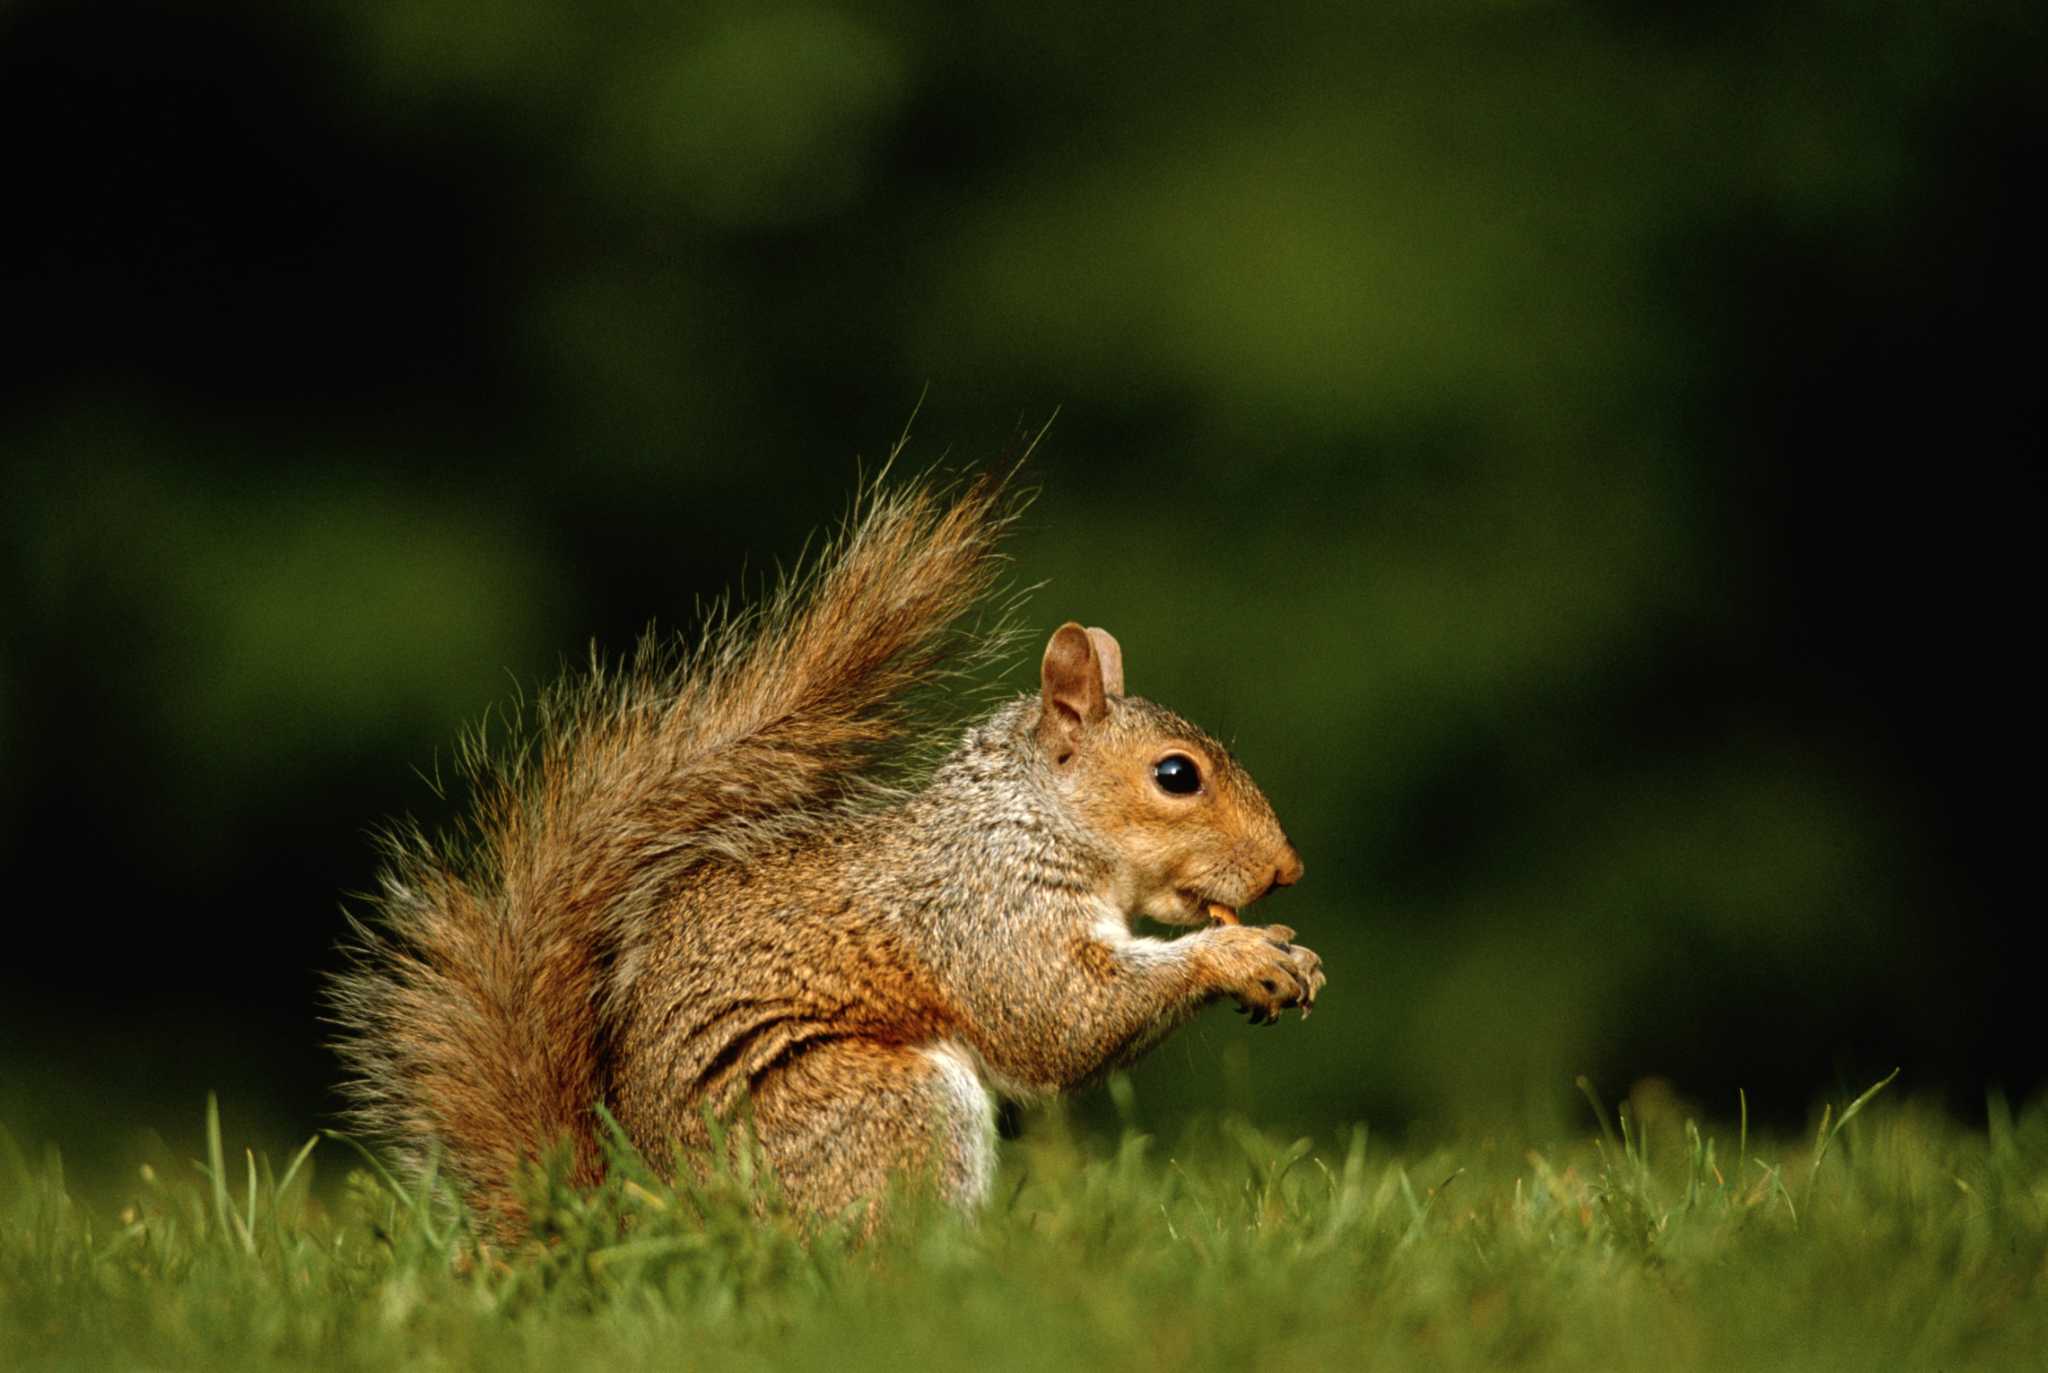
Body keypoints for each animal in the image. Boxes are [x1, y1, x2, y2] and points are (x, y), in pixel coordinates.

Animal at [331, 468, 1323, 1237]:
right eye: (1176, 775)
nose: (1288, 871)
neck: (1027, 815)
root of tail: (653, 1224)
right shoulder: (980, 909)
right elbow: (1058, 1015)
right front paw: (1240, 955)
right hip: (878, 1106)